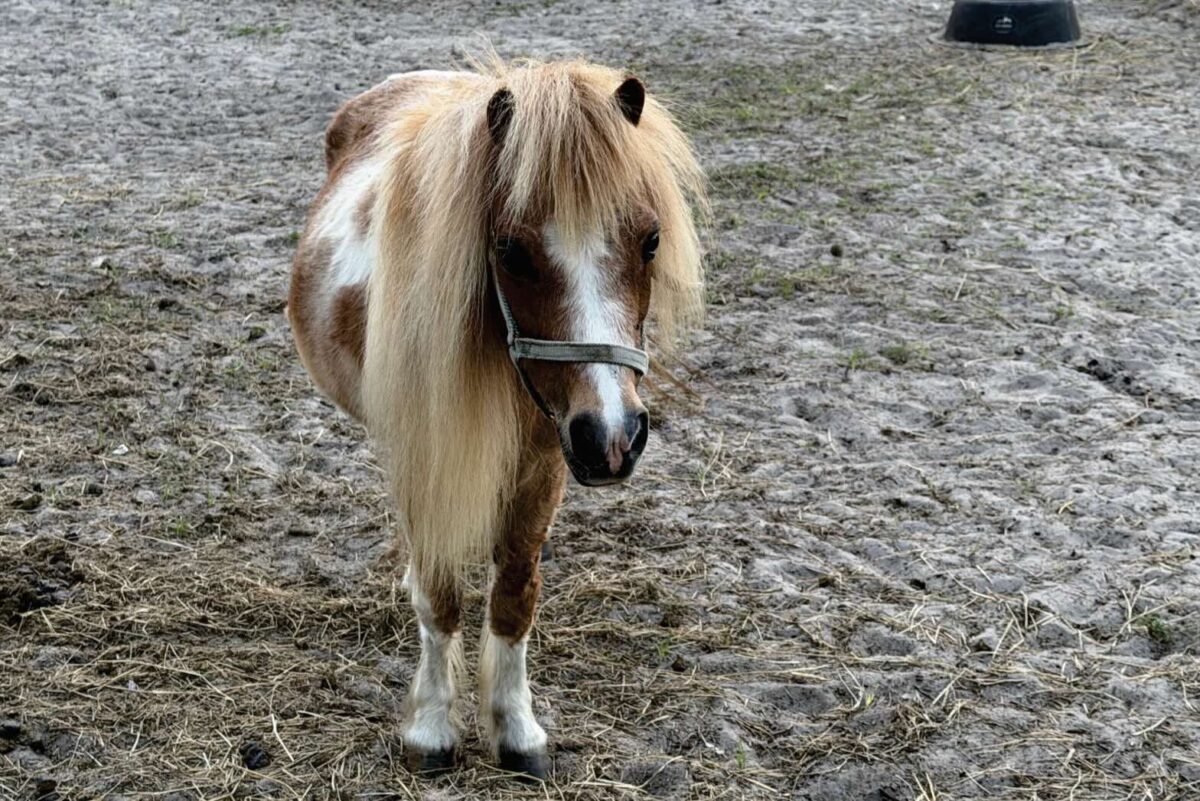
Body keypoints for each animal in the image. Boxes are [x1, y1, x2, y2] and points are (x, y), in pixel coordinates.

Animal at [287, 58, 705, 779]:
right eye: (509, 250)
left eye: (650, 240)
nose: (614, 437)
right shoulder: (426, 453)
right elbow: (440, 593)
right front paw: (431, 728)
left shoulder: (546, 459)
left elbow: (514, 594)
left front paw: (516, 727)